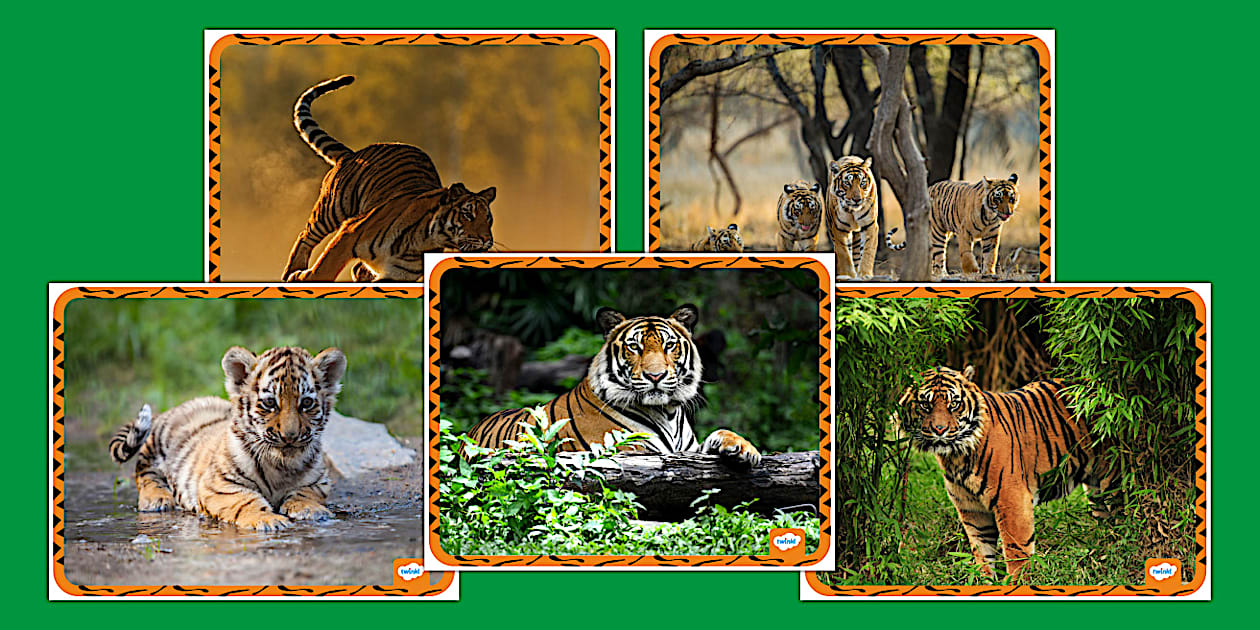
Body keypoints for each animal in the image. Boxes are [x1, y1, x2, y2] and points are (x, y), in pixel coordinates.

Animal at [107, 346, 348, 531]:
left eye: (306, 403)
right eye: (270, 402)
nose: (290, 436)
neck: (282, 464)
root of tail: (176, 407)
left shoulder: (319, 481)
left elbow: (306, 492)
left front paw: (312, 510)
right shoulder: (219, 485)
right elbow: (246, 501)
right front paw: (269, 520)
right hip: (157, 444)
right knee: (144, 470)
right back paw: (156, 499)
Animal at [283, 75, 497, 283]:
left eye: (488, 218)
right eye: (467, 214)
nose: (486, 240)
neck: (425, 240)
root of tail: (353, 154)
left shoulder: (399, 274)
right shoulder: (349, 233)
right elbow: (323, 271)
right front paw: (303, 278)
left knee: (358, 269)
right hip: (332, 209)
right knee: (305, 236)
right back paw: (292, 273)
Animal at [466, 305, 761, 468]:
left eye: (669, 345)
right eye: (635, 347)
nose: (655, 376)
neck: (667, 412)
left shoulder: (686, 451)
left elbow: (719, 434)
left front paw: (745, 449)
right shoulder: (627, 451)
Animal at [898, 366, 1117, 579]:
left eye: (954, 404)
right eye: (925, 405)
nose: (939, 430)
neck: (955, 456)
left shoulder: (1012, 500)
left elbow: (1016, 550)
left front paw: (1017, 581)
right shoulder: (972, 509)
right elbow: (982, 553)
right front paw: (984, 581)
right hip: (1096, 489)